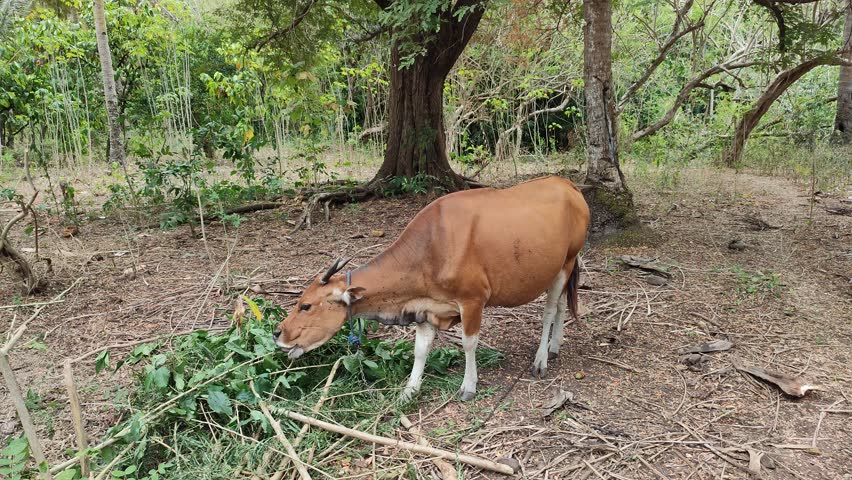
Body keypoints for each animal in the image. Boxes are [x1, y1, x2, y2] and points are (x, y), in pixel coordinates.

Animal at [274, 176, 590, 402]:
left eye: (305, 305)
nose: (278, 333)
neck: (431, 248)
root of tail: (569, 185)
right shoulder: (425, 307)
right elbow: (420, 350)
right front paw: (409, 390)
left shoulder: (472, 300)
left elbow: (469, 343)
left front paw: (468, 385)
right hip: (562, 268)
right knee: (562, 305)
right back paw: (554, 346)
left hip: (567, 261)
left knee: (549, 310)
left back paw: (540, 358)